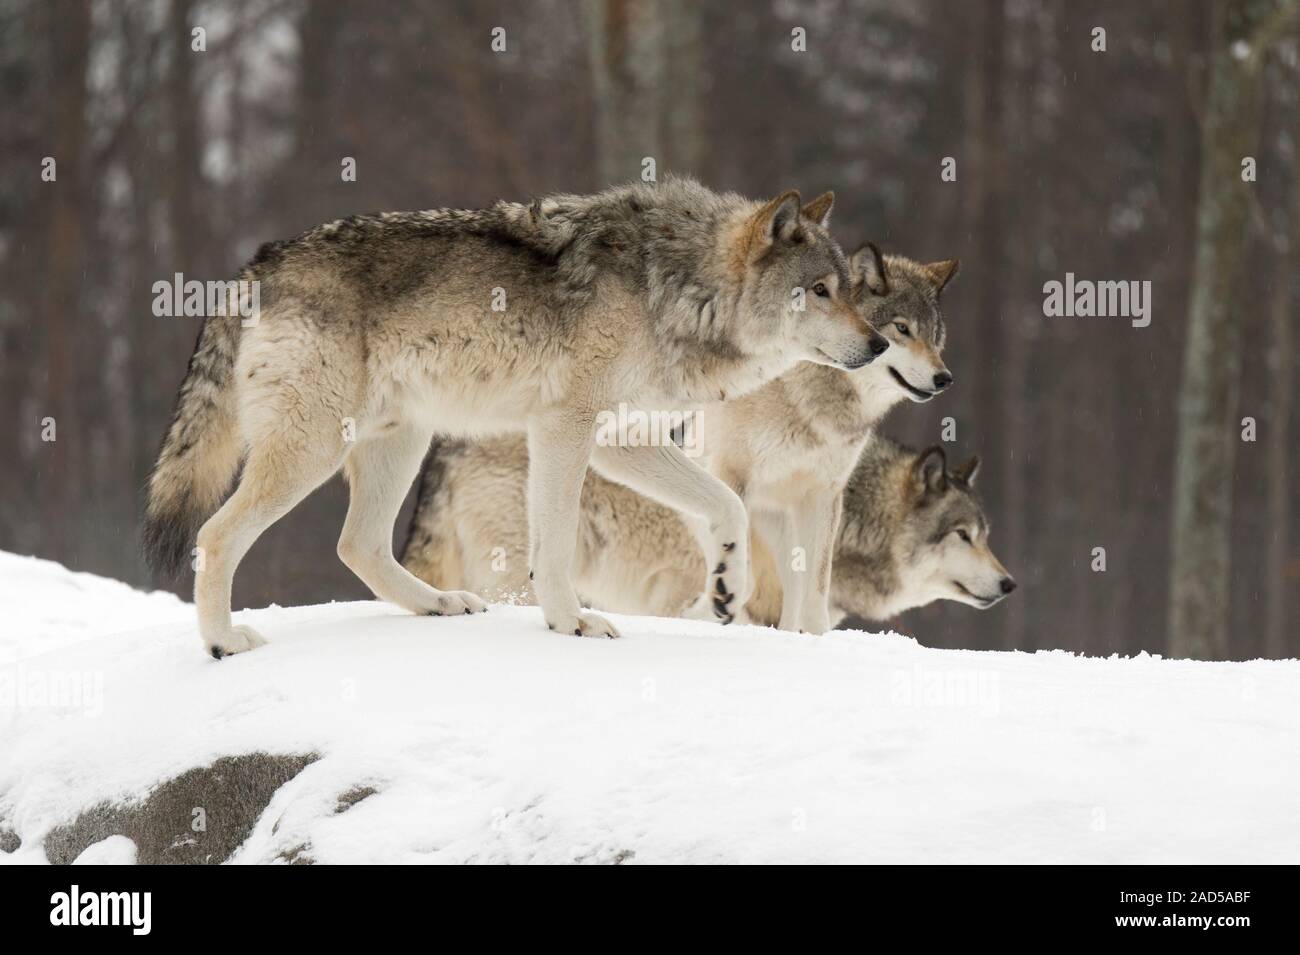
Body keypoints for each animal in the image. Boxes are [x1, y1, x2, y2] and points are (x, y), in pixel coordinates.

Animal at [143, 178, 886, 656]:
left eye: (850, 290)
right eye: (820, 291)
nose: (879, 344)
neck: (675, 286)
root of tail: (258, 264)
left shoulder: (619, 439)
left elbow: (725, 504)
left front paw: (730, 583)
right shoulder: (564, 427)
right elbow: (552, 545)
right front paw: (570, 622)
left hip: (401, 442)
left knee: (358, 545)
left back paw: (437, 605)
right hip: (313, 450)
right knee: (216, 535)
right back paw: (222, 642)